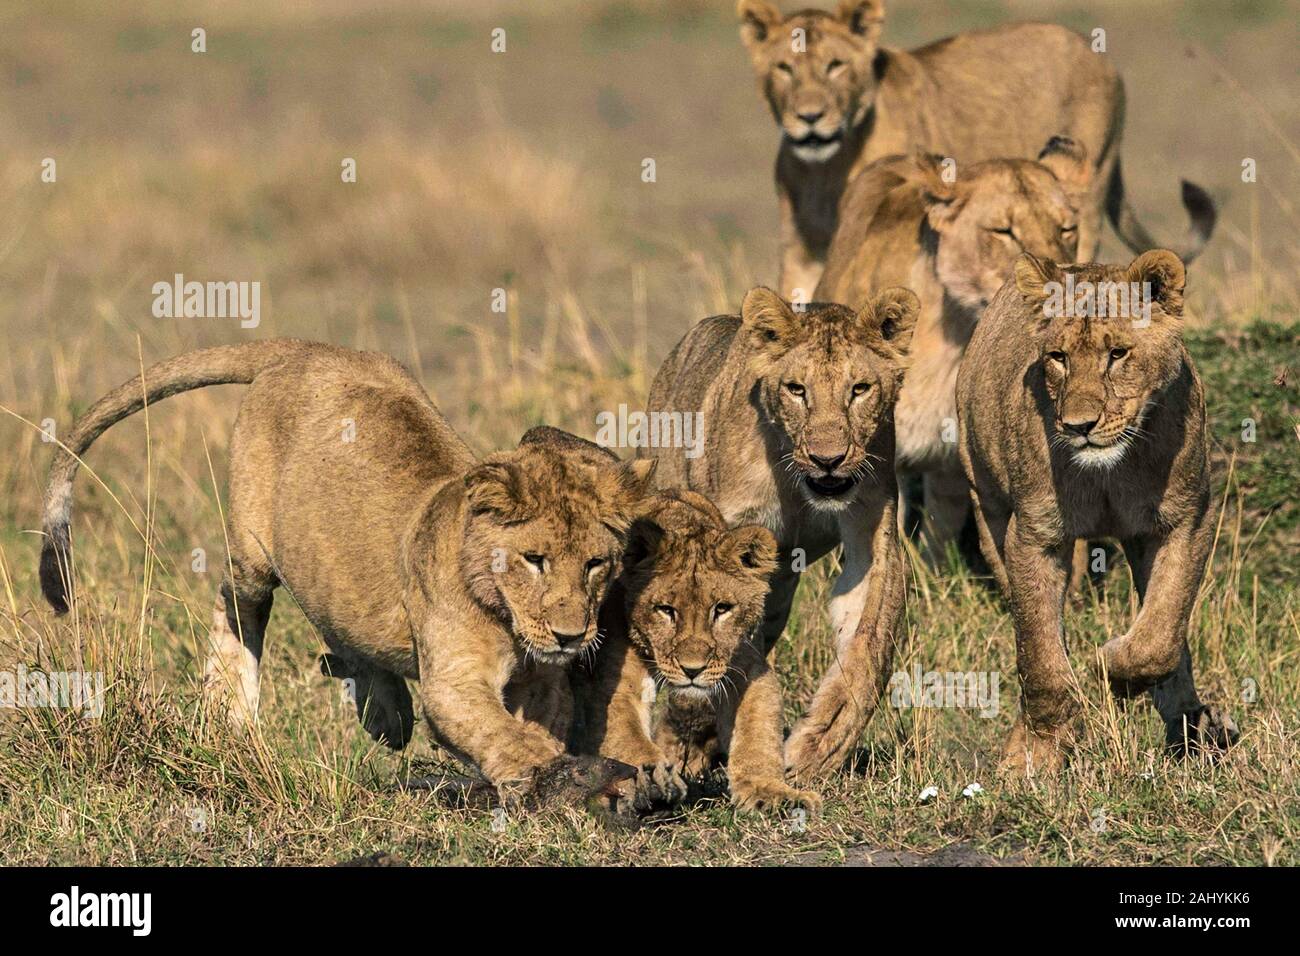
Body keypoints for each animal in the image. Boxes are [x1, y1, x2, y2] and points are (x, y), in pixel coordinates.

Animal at [38, 340, 657, 809]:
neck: (506, 617)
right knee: (237, 602)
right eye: (535, 560)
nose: (571, 636)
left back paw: (383, 711)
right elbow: (502, 733)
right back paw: (231, 713)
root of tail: (303, 348)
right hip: (255, 549)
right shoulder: (451, 682)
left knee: (338, 620)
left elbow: (534, 724)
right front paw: (568, 779)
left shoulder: (544, 681)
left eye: (596, 564)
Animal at [571, 488, 820, 812]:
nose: (693, 670)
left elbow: (758, 735)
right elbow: (629, 735)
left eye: (722, 609)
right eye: (665, 610)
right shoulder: (616, 681)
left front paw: (771, 792)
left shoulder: (747, 666)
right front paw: (655, 779)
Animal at [645, 286, 917, 781]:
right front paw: (687, 734)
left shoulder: (873, 534)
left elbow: (870, 643)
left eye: (859, 390)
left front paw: (820, 745)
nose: (828, 460)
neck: (797, 484)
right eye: (797, 390)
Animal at [735, 0, 1216, 299]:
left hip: (1090, 189)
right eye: (784, 69)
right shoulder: (800, 250)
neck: (826, 171)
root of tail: (1094, 49)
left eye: (835, 66)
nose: (810, 117)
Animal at [956, 250, 1239, 775]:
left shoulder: (1187, 519)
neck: (1109, 472)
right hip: (987, 506)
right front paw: (1036, 753)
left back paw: (1193, 728)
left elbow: (1161, 634)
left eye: (1118, 354)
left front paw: (1115, 671)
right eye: (1058, 357)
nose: (1078, 426)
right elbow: (1039, 655)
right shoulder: (1034, 535)